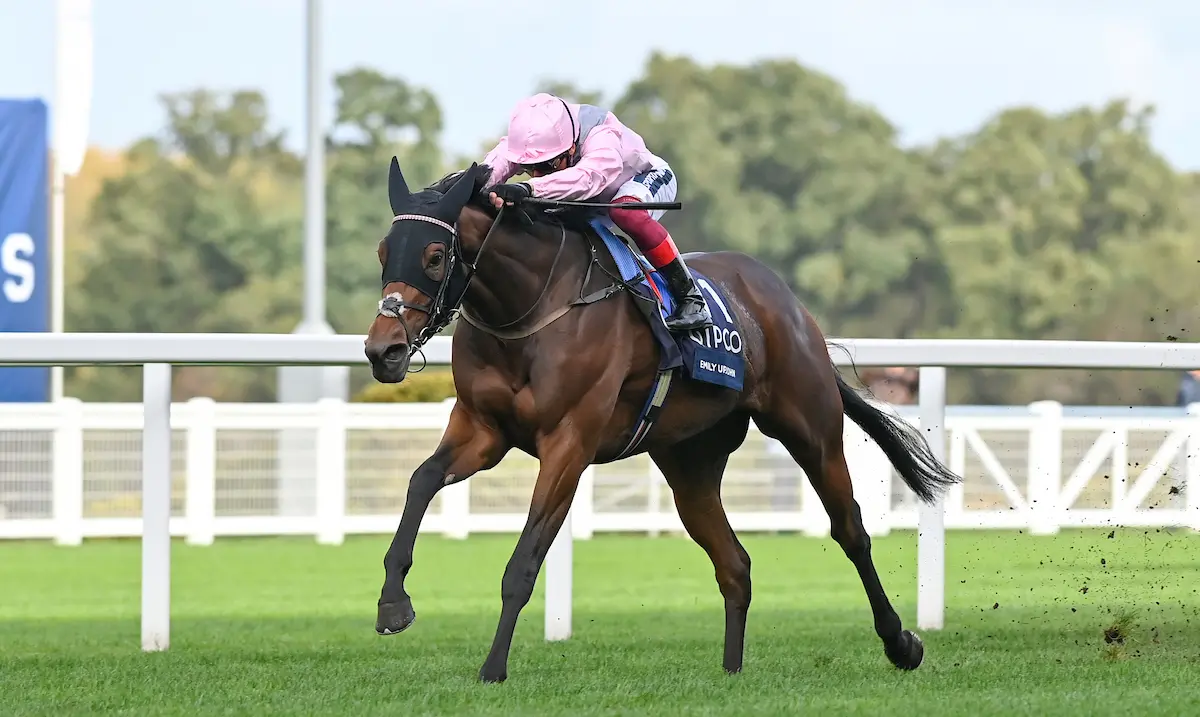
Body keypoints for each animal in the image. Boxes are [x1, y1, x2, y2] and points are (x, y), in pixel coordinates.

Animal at [364, 157, 960, 683]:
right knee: (734, 563)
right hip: (690, 463)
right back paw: (731, 671)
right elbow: (421, 480)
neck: (531, 310)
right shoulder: (483, 430)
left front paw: (492, 669)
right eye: (383, 251)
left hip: (810, 428)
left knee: (850, 531)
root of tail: (784, 298)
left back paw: (901, 643)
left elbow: (524, 562)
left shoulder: (568, 444)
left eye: (435, 256)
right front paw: (393, 604)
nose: (382, 350)